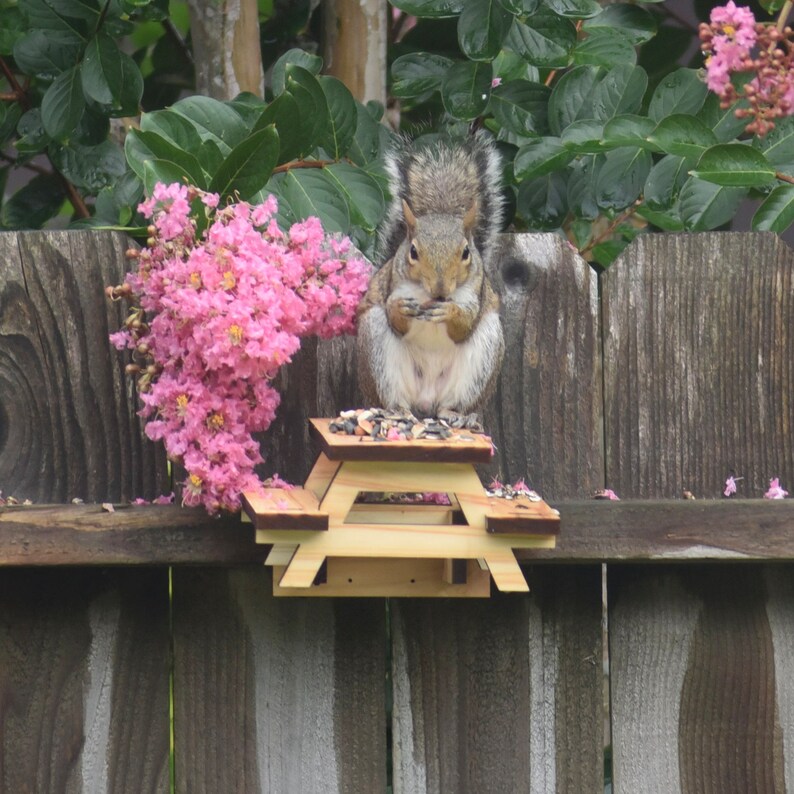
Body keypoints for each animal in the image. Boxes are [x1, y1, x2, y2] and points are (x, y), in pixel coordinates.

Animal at [356, 132, 505, 418]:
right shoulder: (393, 284)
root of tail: (426, 400)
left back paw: (455, 415)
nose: (441, 289)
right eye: (413, 251)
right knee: (396, 398)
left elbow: (463, 326)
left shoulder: (474, 295)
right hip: (377, 345)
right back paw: (398, 411)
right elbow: (397, 321)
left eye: (466, 252)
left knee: (453, 403)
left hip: (483, 354)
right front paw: (400, 308)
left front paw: (449, 312)